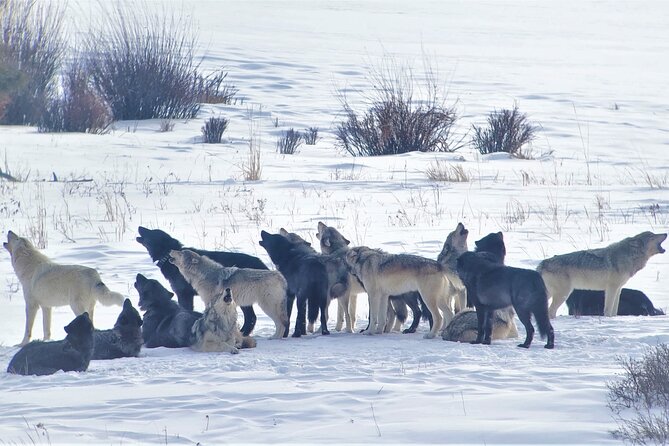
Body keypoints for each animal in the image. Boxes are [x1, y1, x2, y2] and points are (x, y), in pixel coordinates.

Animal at [136, 226, 268, 336]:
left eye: (152, 232)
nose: (139, 227)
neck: (168, 258)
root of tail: (261, 263)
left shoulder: (184, 294)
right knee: (251, 317)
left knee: (251, 317)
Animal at [538, 231, 667, 318]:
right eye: (652, 236)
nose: (665, 233)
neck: (630, 256)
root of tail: (542, 263)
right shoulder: (611, 288)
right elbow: (608, 310)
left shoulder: (618, 289)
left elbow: (614, 311)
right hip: (563, 294)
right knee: (550, 312)